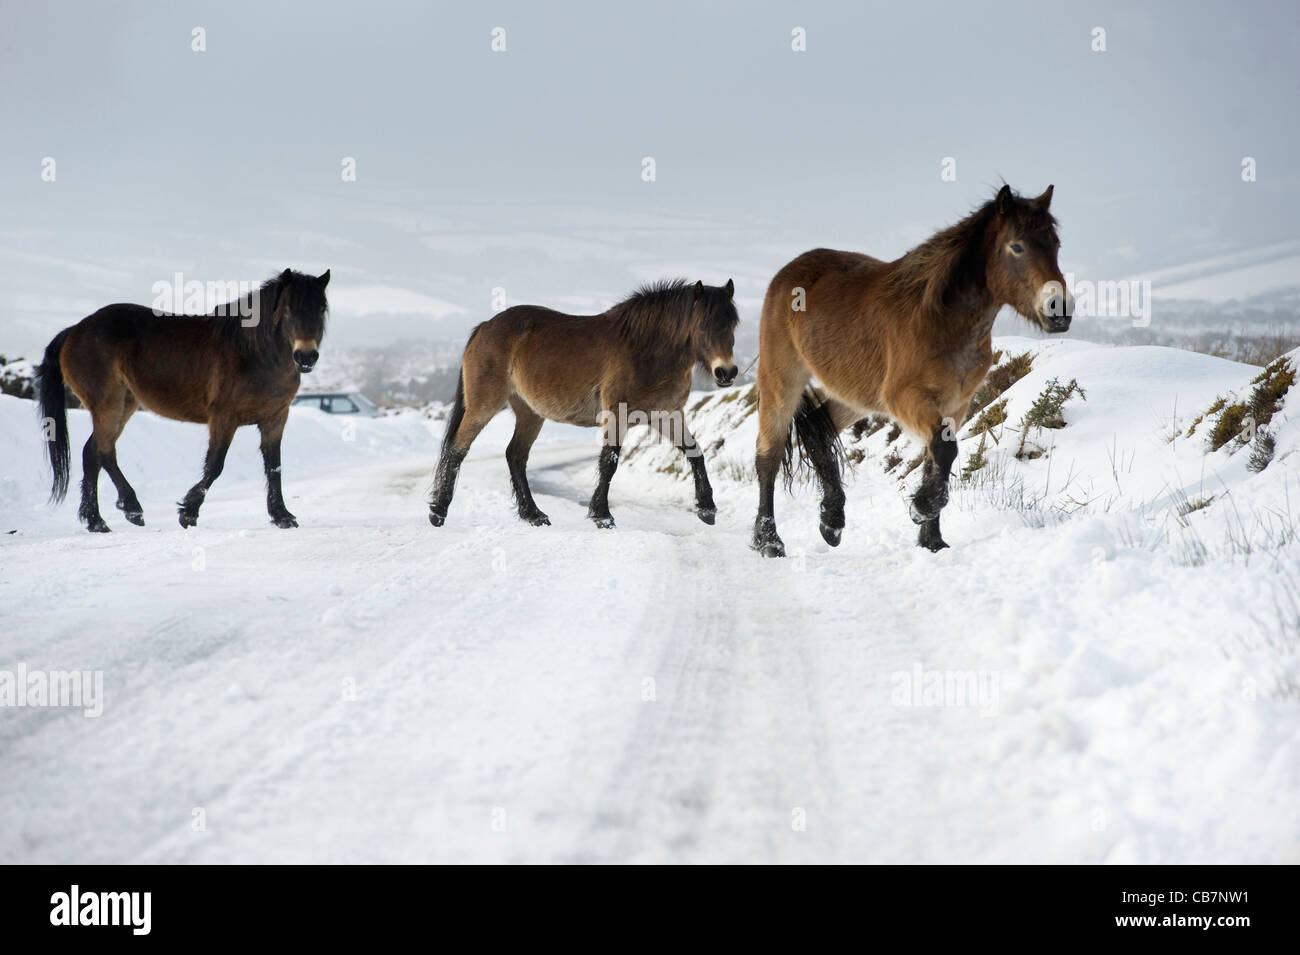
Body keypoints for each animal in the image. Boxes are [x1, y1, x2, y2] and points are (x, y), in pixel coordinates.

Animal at [35, 268, 331, 532]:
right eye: (288, 310)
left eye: (320, 310)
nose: (306, 357)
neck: (254, 353)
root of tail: (74, 331)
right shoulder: (223, 419)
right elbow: (215, 465)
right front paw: (188, 512)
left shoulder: (275, 419)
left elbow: (274, 467)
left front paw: (282, 516)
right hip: (108, 404)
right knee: (104, 451)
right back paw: (130, 509)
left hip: (125, 405)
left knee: (92, 453)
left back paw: (96, 521)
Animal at [429, 278, 740, 530]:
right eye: (703, 325)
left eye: (733, 325)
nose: (726, 372)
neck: (648, 350)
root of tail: (485, 327)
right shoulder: (617, 414)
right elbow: (609, 461)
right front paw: (602, 516)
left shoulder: (667, 415)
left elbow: (695, 452)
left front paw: (707, 509)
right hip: (485, 405)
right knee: (458, 448)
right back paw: (438, 512)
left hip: (530, 413)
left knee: (515, 455)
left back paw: (534, 515)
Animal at [751, 184, 1072, 557]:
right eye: (1017, 246)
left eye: (1056, 244)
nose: (1060, 311)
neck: (939, 320)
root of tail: (789, 271)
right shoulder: (907, 398)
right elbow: (944, 452)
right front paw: (921, 509)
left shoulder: (954, 404)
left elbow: (937, 458)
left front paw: (932, 540)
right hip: (781, 380)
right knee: (768, 457)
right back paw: (769, 541)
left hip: (857, 395)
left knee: (819, 428)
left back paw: (831, 523)